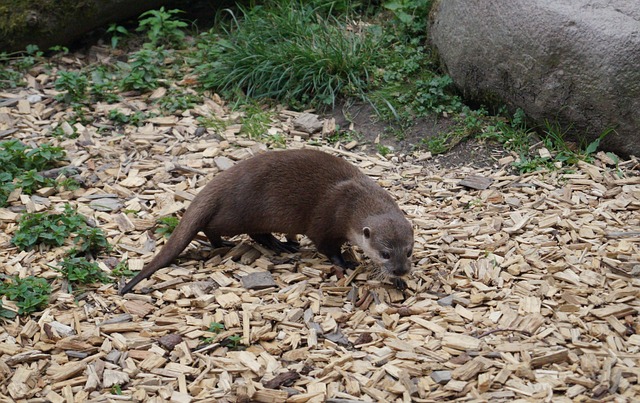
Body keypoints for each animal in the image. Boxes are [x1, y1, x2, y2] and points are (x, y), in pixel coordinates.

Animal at [120, 149, 414, 294]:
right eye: (385, 253)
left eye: (408, 251)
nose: (401, 270)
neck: (354, 201)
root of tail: (221, 182)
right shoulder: (327, 220)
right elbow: (326, 247)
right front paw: (346, 262)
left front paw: (397, 282)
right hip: (241, 213)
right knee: (214, 227)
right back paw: (232, 243)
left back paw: (281, 244)